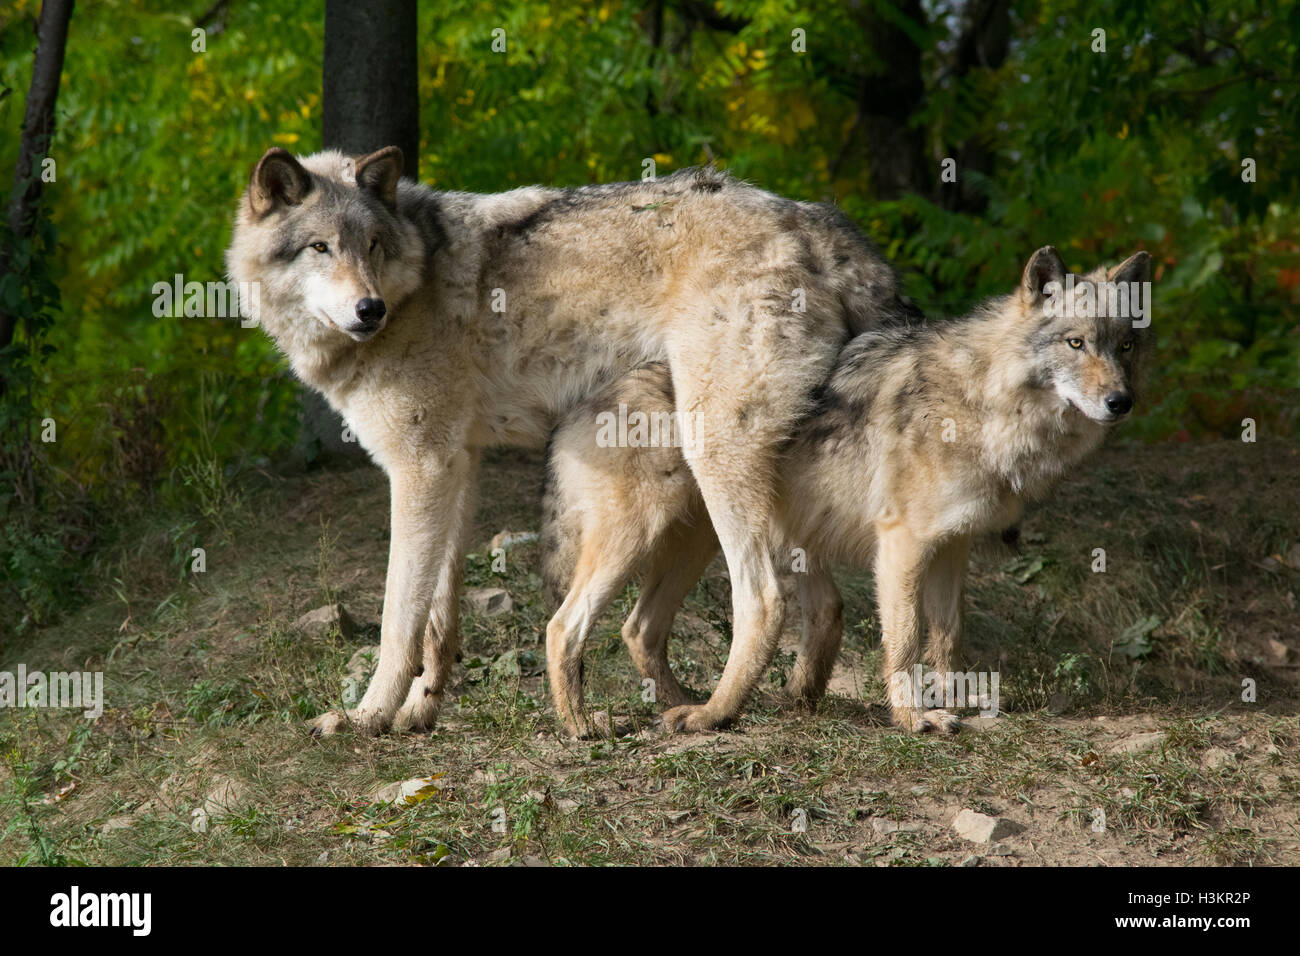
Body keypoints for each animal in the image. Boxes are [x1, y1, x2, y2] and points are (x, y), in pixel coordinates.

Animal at [226, 145, 920, 736]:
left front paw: (367, 718)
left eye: (371, 245)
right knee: (824, 604)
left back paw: (711, 714)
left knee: (764, 600)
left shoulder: (419, 468)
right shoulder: (456, 466)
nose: (369, 310)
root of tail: (817, 220)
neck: (416, 277)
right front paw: (418, 714)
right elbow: (439, 620)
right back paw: (792, 703)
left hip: (714, 459)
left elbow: (399, 619)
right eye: (320, 248)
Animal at [541, 247, 1151, 736]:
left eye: (1125, 346)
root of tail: (586, 400)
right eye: (1076, 342)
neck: (981, 399)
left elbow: (947, 638)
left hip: (701, 542)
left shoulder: (953, 547)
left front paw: (953, 702)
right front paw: (913, 718)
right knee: (564, 625)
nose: (1121, 402)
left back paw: (693, 709)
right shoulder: (902, 546)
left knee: (641, 629)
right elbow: (905, 641)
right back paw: (586, 725)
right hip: (643, 540)